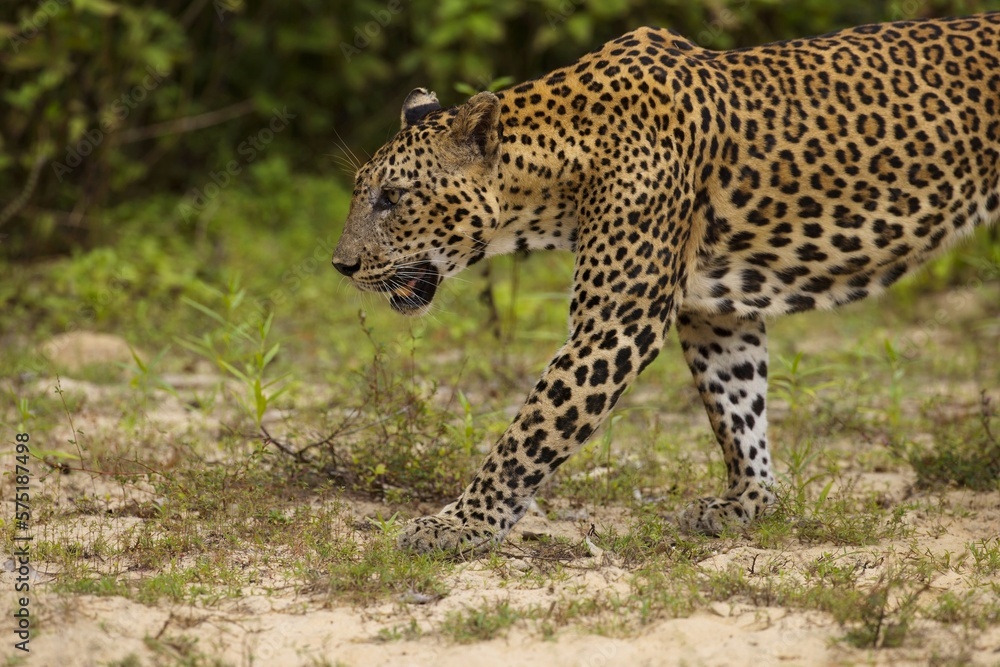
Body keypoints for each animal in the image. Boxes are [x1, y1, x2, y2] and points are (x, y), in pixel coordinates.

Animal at [332, 12, 1000, 553]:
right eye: (363, 191)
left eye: (393, 197)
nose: (340, 266)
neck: (555, 175)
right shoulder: (717, 311)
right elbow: (738, 405)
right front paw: (750, 502)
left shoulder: (615, 325)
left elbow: (530, 435)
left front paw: (459, 524)